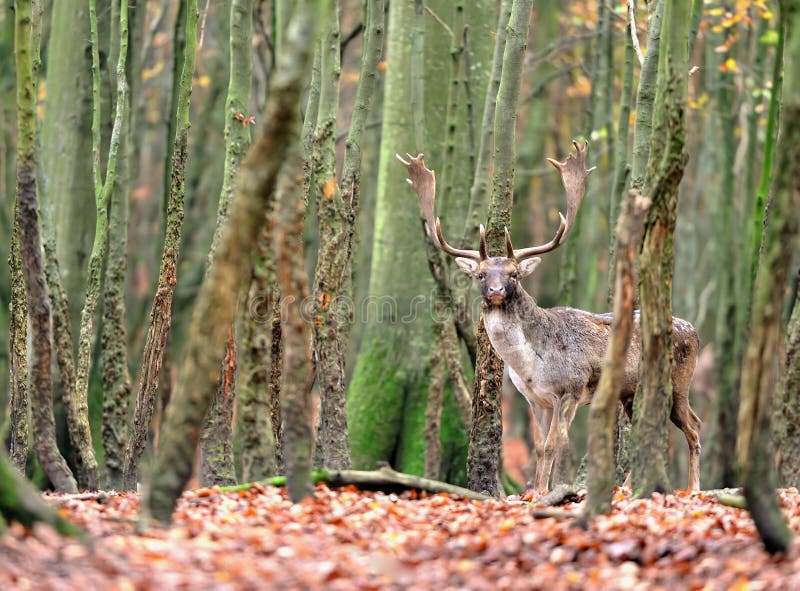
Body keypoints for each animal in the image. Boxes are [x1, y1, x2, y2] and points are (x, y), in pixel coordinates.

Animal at [397, 141, 701, 492]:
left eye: (514, 274)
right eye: (481, 274)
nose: (497, 290)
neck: (531, 367)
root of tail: (695, 332)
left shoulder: (570, 389)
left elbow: (558, 444)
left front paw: (549, 490)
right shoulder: (535, 399)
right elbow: (542, 448)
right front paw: (536, 491)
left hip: (678, 381)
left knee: (693, 426)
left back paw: (692, 487)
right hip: (633, 392)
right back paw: (628, 487)